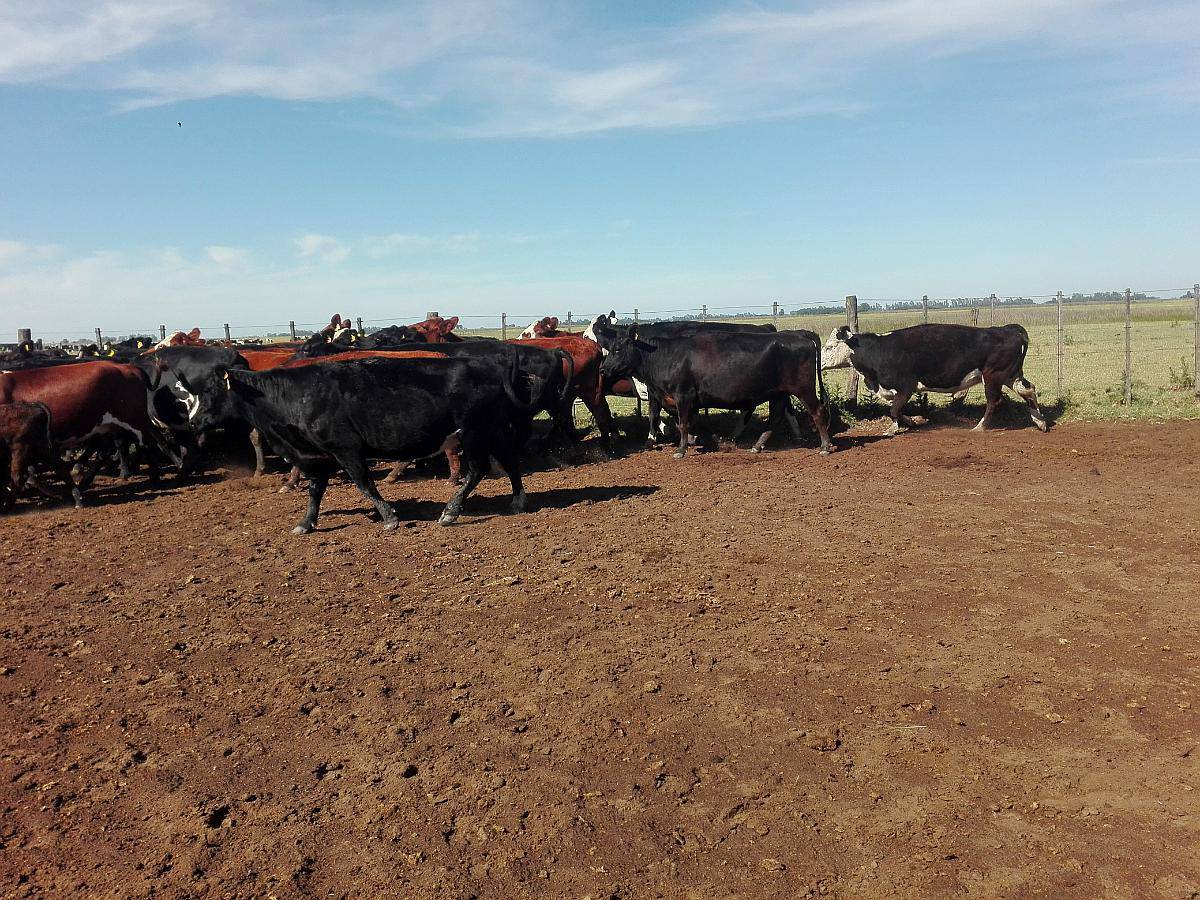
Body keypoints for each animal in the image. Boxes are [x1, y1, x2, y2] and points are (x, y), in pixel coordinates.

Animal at [191, 354, 552, 534]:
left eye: (209, 391)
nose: (192, 421)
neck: (297, 395)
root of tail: (496, 364)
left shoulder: (345, 449)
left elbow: (364, 484)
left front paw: (389, 517)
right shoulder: (318, 455)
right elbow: (315, 491)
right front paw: (305, 523)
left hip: (475, 432)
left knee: (477, 470)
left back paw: (450, 512)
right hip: (491, 431)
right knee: (509, 461)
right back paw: (518, 501)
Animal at [599, 328, 834, 459]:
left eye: (618, 349)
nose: (603, 369)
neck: (666, 356)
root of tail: (799, 334)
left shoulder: (683, 395)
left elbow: (683, 424)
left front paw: (681, 450)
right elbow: (684, 423)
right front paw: (699, 440)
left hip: (803, 389)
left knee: (818, 412)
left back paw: (824, 446)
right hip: (779, 393)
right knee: (775, 419)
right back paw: (757, 446)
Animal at [820, 323, 1047, 434]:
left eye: (829, 347)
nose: (818, 363)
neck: (879, 350)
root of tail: (1008, 329)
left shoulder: (906, 386)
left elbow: (893, 410)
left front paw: (892, 429)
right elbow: (897, 410)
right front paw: (912, 421)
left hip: (992, 376)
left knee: (993, 402)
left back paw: (980, 427)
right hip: (1010, 375)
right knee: (1029, 389)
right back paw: (1040, 421)